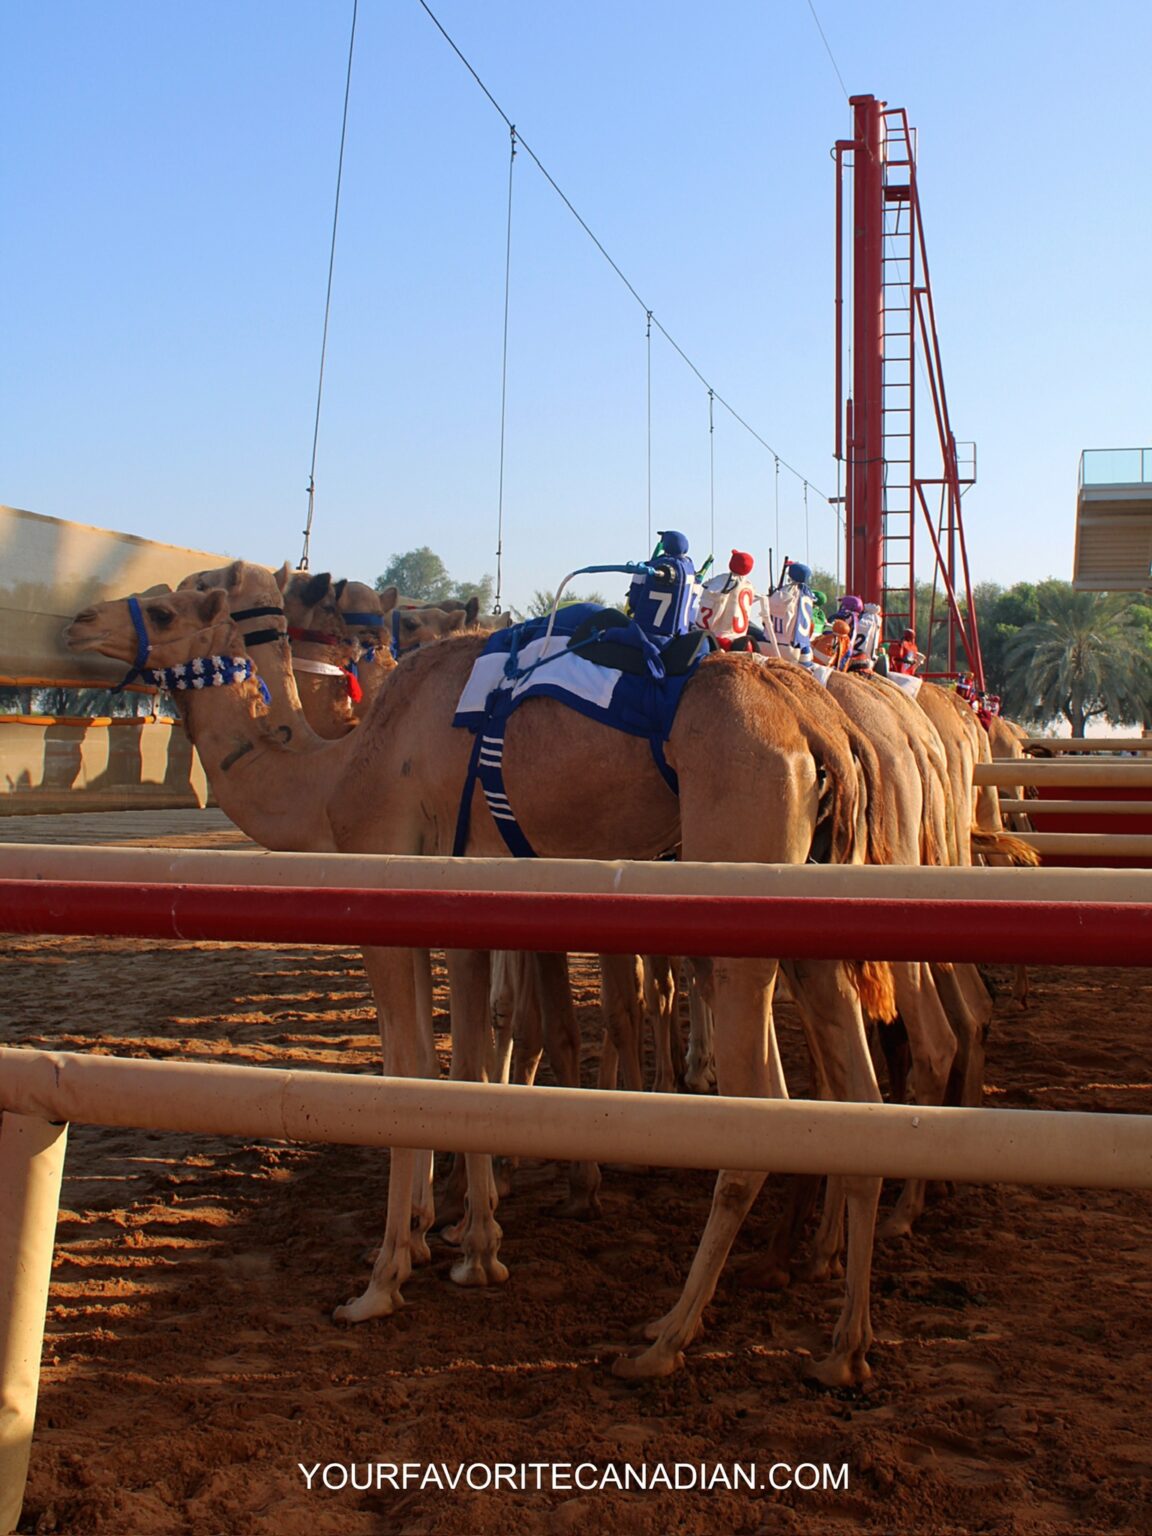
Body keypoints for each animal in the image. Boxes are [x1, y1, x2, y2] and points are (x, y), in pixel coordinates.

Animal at [67, 584, 896, 1387]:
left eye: (166, 608)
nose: (80, 619)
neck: (339, 772)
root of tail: (817, 725)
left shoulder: (392, 891)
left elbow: (414, 1070)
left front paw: (390, 1278)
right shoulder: (466, 911)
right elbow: (464, 1062)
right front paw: (461, 1240)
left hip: (741, 892)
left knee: (762, 1113)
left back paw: (666, 1338)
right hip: (815, 909)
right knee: (857, 1097)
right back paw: (842, 1347)